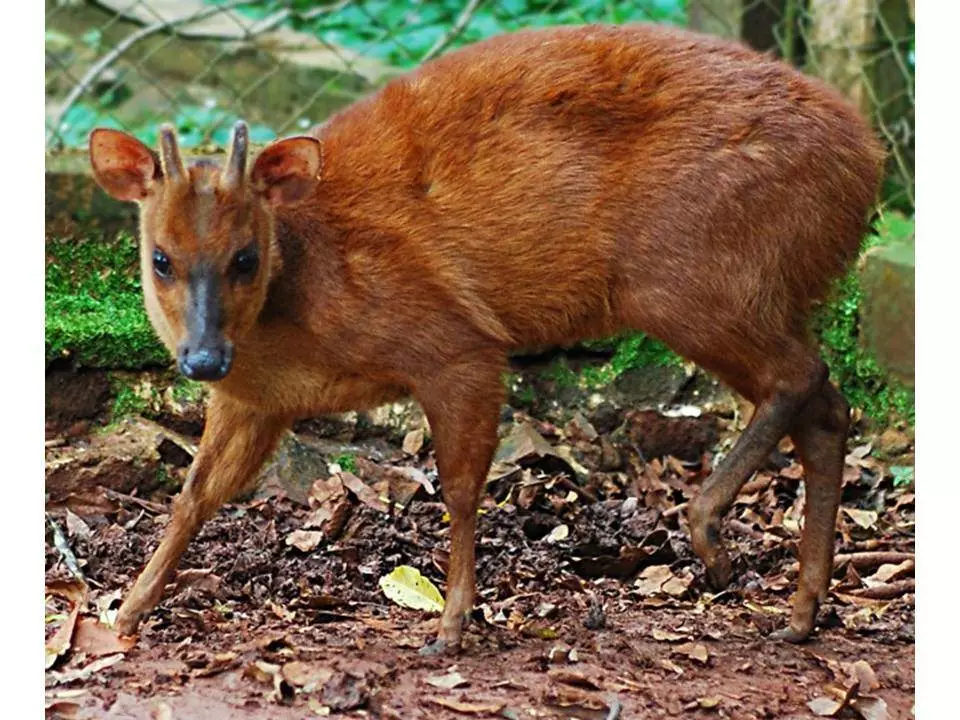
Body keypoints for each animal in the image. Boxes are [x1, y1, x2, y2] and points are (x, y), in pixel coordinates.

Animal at [90, 22, 884, 652]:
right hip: (745, 291)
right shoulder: (254, 402)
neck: (302, 296)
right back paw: (801, 613)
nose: (201, 358)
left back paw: (711, 538)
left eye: (246, 257)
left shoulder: (455, 344)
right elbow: (195, 494)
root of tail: (867, 162)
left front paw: (450, 626)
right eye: (160, 257)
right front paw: (126, 613)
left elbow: (462, 488)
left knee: (800, 378)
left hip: (695, 279)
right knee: (825, 407)